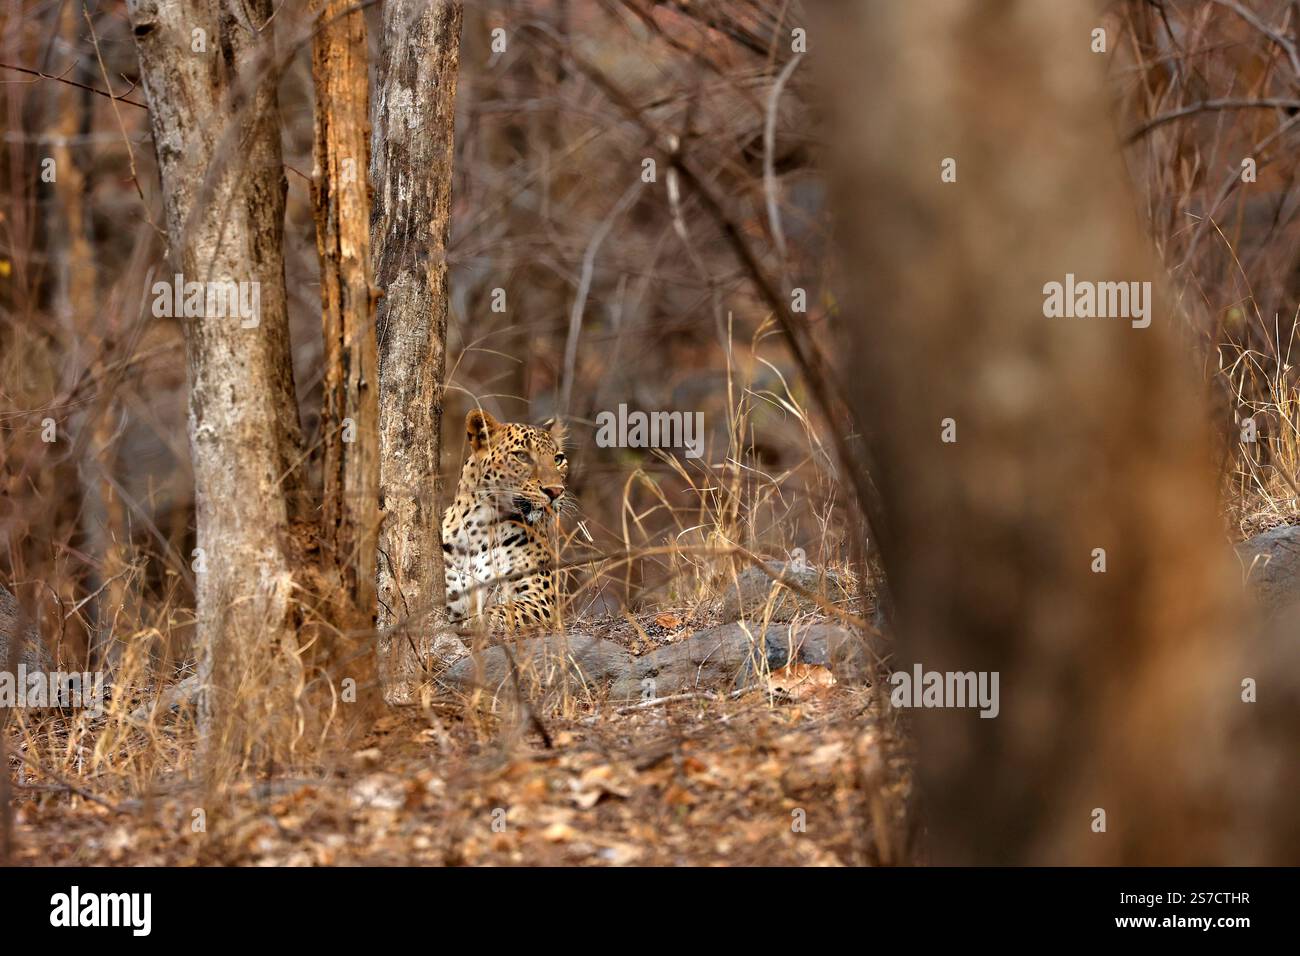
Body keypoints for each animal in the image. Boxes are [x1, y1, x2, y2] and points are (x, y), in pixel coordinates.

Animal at [441, 409, 570, 631]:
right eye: (522, 456)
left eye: (558, 459)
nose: (555, 491)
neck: (482, 527)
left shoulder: (542, 597)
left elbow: (507, 609)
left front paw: (478, 622)